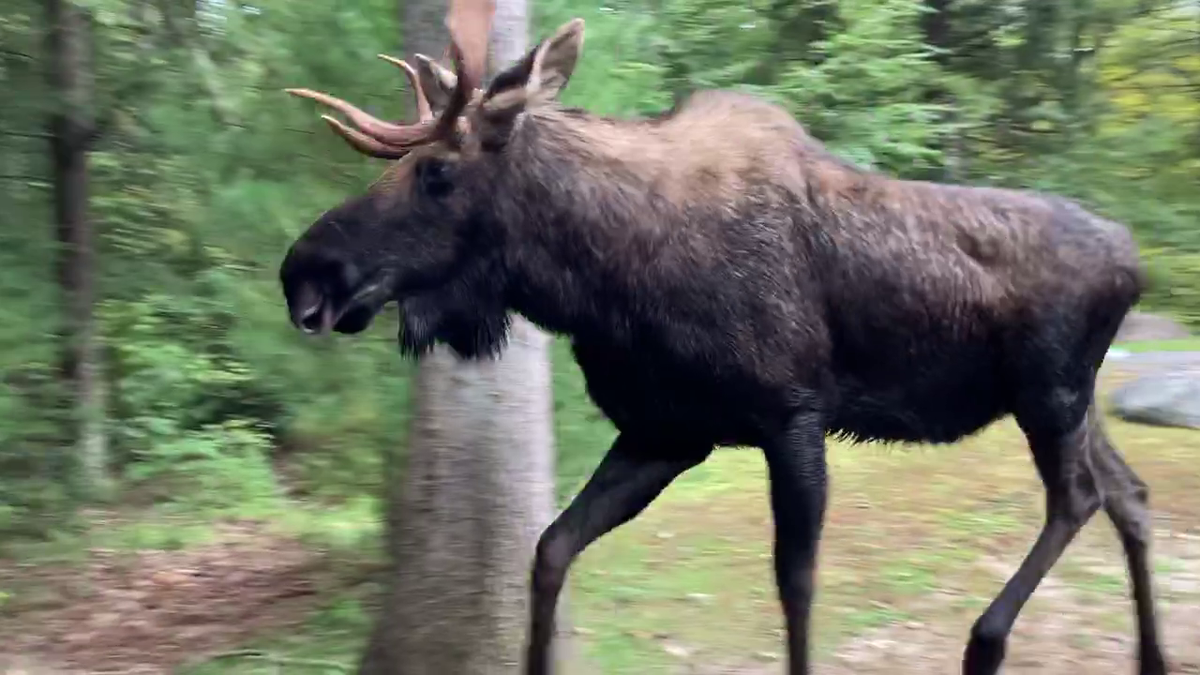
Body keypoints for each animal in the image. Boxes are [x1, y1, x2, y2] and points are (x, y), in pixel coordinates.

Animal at [278, 1, 1168, 673]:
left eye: (437, 171)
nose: (304, 274)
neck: (602, 285)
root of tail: (1135, 261)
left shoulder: (792, 414)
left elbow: (797, 585)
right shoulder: (666, 432)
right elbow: (551, 548)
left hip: (1048, 391)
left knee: (1079, 497)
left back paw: (985, 641)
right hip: (1070, 401)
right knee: (1129, 491)